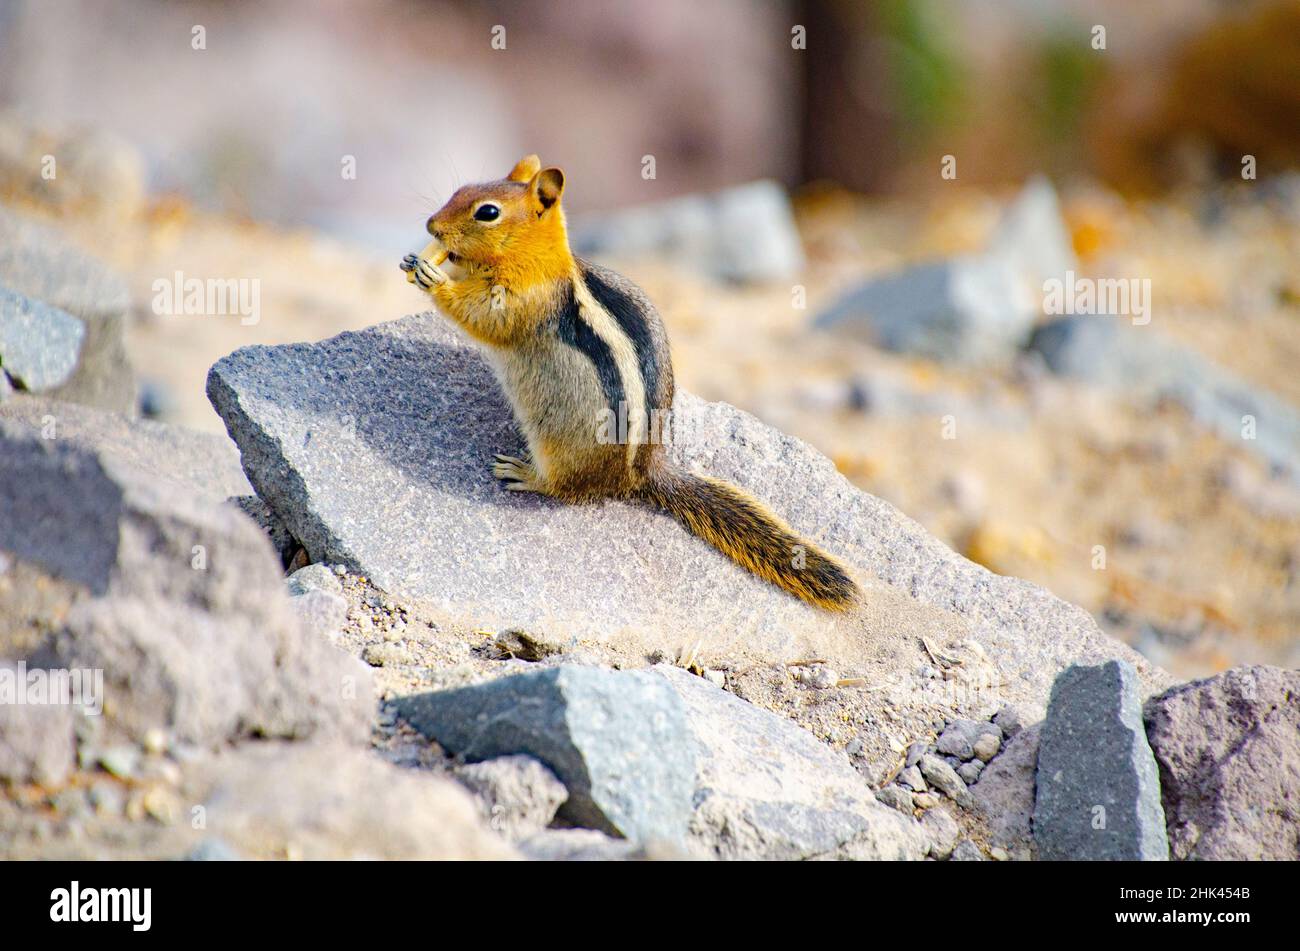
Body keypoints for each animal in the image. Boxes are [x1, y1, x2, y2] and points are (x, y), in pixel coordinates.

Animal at [400, 155, 858, 611]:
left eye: (488, 212)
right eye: (461, 191)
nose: (430, 226)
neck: (540, 259)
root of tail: (642, 471)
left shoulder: (522, 301)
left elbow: (483, 319)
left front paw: (434, 279)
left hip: (559, 449)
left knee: (565, 489)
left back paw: (525, 473)